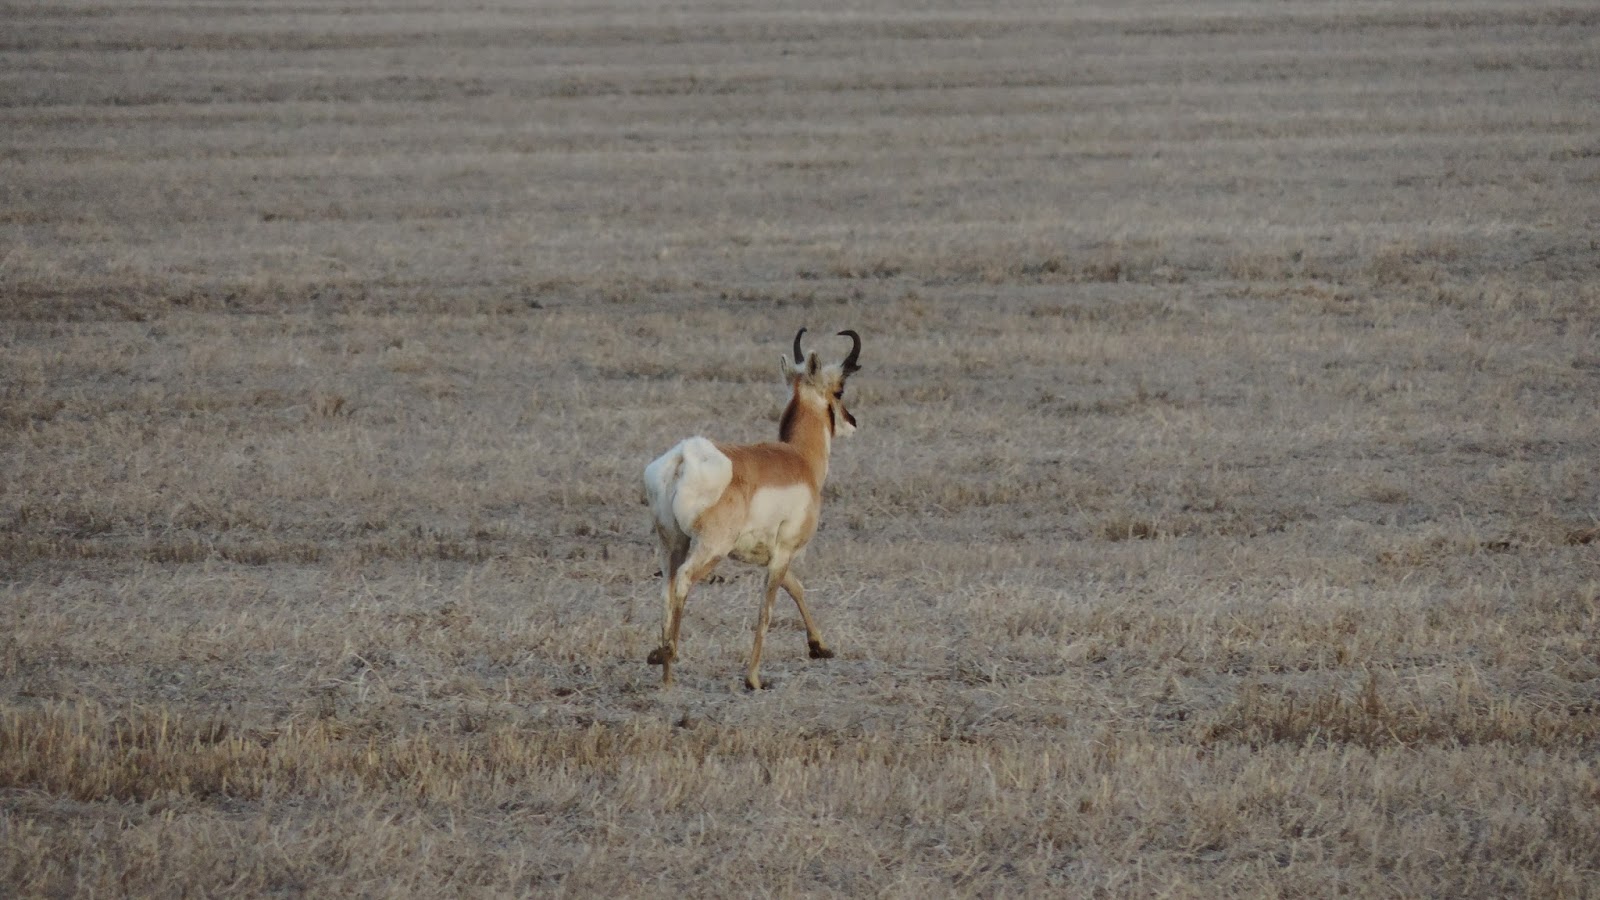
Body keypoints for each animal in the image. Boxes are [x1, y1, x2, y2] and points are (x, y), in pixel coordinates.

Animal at [643, 328, 862, 690]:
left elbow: (796, 587)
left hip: (671, 545)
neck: (798, 458)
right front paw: (754, 679)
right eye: (839, 390)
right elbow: (767, 609)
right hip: (710, 549)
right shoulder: (784, 553)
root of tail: (684, 457)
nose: (852, 422)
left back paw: (665, 671)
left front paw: (820, 648)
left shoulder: (769, 555)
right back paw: (669, 657)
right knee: (684, 581)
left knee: (666, 588)